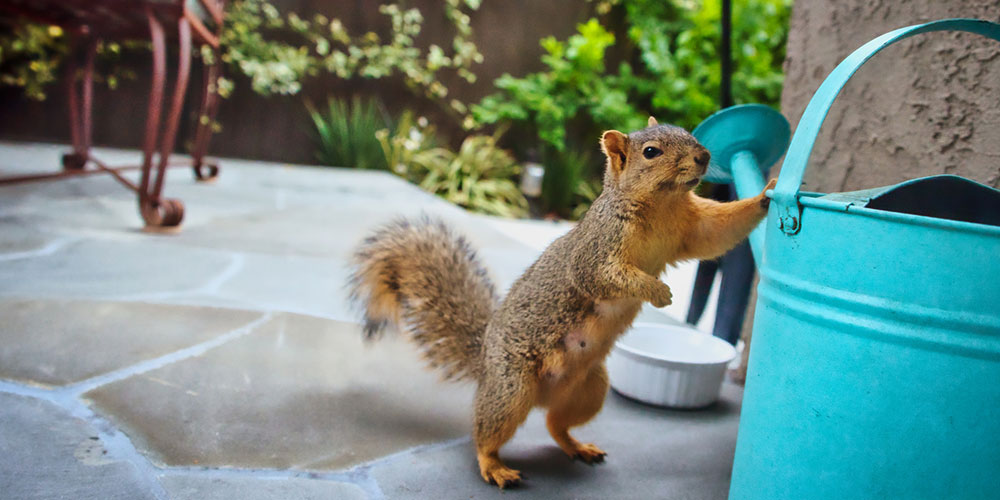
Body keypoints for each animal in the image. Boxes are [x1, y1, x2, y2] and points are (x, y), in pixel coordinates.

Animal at [348, 116, 775, 489]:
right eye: (651, 152)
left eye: (688, 133)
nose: (703, 156)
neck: (662, 205)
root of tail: (484, 359)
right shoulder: (598, 249)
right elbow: (604, 277)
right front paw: (656, 291)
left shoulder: (691, 229)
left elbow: (718, 233)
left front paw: (766, 195)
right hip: (511, 388)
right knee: (485, 433)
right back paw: (494, 465)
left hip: (590, 389)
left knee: (556, 424)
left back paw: (576, 445)